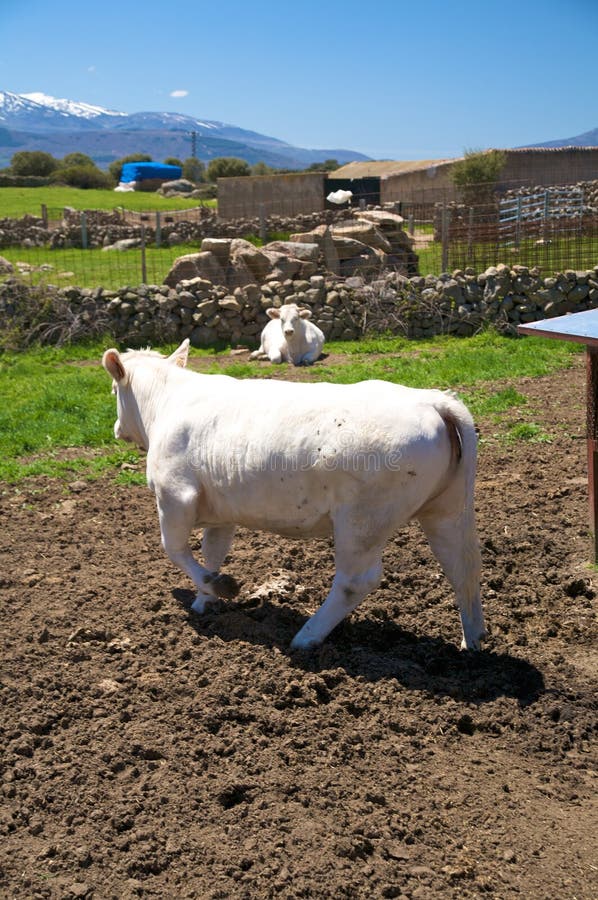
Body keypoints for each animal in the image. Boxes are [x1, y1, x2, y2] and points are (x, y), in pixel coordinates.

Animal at [102, 339, 485, 651]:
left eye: (113, 392)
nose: (117, 429)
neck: (168, 402)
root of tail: (430, 399)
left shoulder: (174, 494)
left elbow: (175, 549)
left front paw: (218, 587)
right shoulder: (222, 509)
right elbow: (212, 551)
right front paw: (204, 600)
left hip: (363, 520)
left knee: (356, 581)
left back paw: (306, 636)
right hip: (446, 508)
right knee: (461, 565)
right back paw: (472, 641)